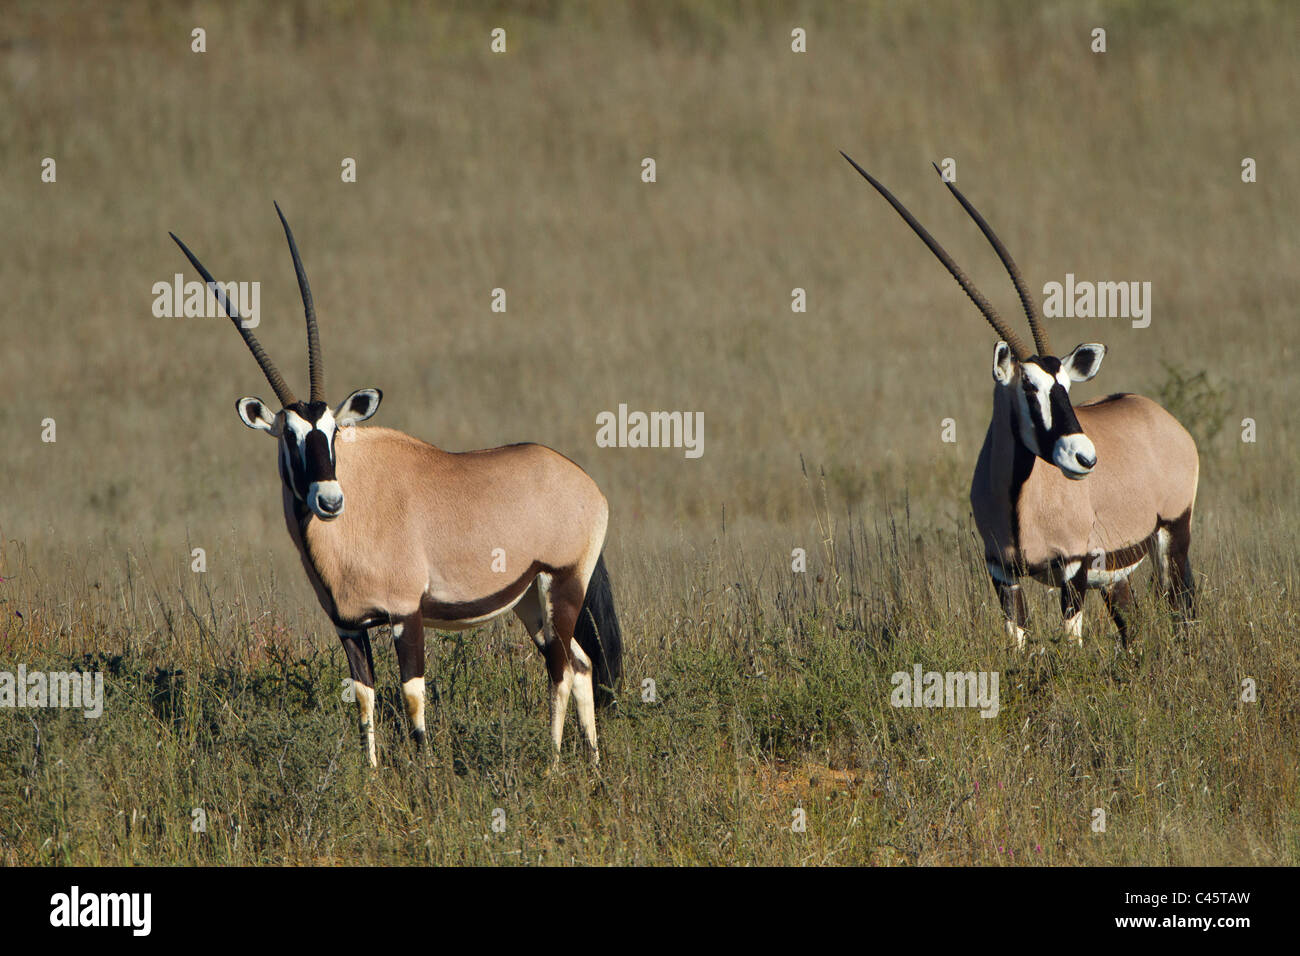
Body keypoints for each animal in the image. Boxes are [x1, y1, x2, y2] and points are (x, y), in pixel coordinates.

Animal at [169, 204, 623, 766]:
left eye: (333, 431)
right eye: (291, 436)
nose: (329, 500)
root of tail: (587, 487)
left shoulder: (407, 615)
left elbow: (412, 698)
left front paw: (424, 771)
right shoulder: (348, 625)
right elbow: (364, 698)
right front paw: (371, 776)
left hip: (561, 584)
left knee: (561, 668)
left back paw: (554, 766)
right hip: (529, 602)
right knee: (580, 665)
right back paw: (593, 763)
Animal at [841, 154, 1198, 648]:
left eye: (1065, 385)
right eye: (1029, 387)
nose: (1085, 458)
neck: (1019, 501)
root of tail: (1161, 417)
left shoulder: (1073, 570)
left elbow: (1071, 646)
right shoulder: (1002, 573)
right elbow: (1020, 647)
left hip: (1173, 538)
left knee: (1185, 614)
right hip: (1116, 576)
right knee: (1132, 630)